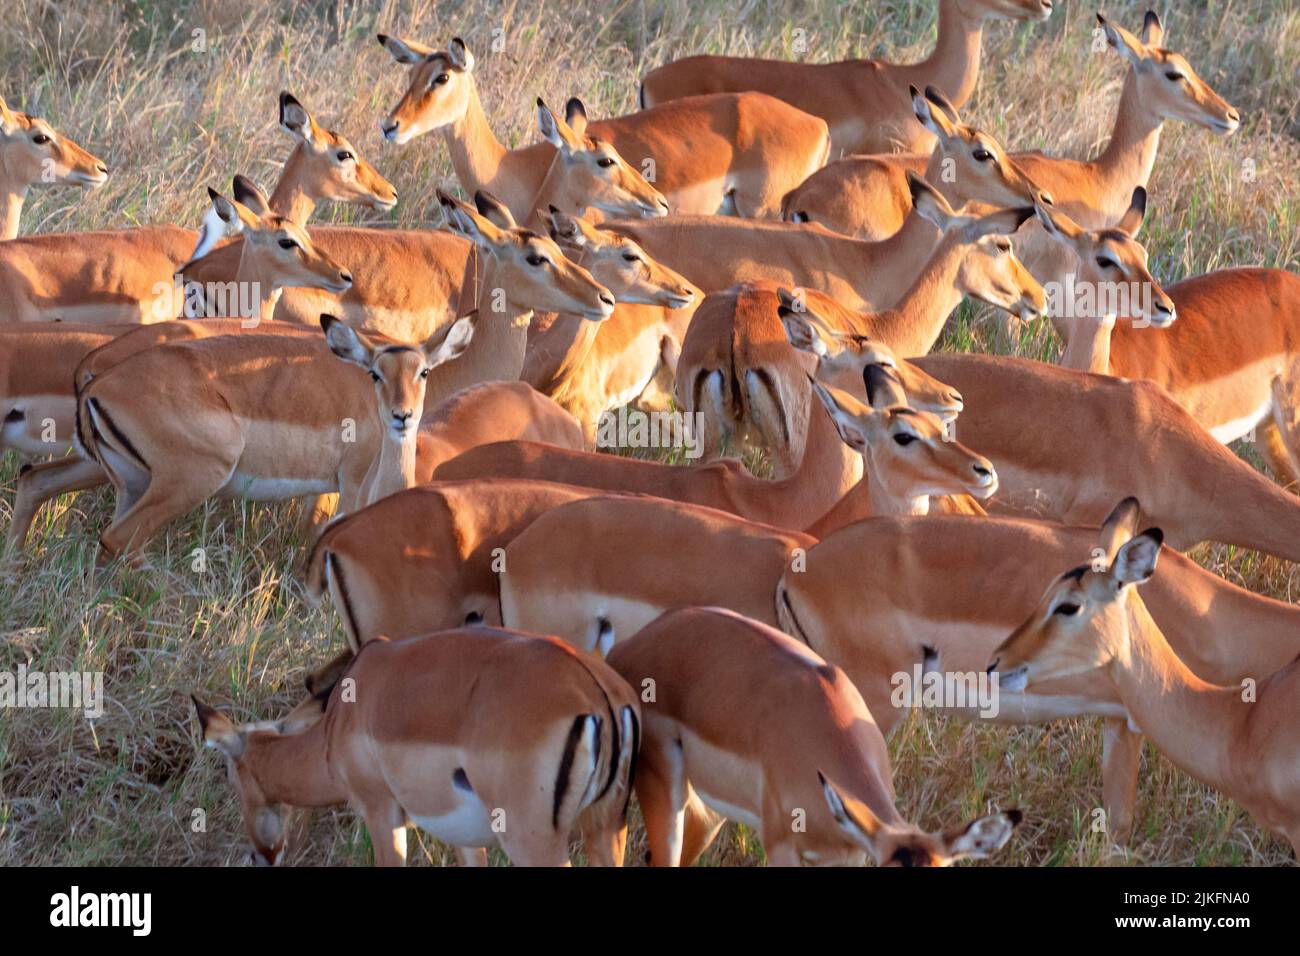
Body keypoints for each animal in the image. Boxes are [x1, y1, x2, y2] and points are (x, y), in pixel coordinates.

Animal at [194, 625, 640, 866]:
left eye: (233, 779)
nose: (261, 854)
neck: (338, 725)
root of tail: (597, 692)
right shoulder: (463, 837)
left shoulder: (381, 813)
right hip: (605, 828)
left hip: (534, 841)